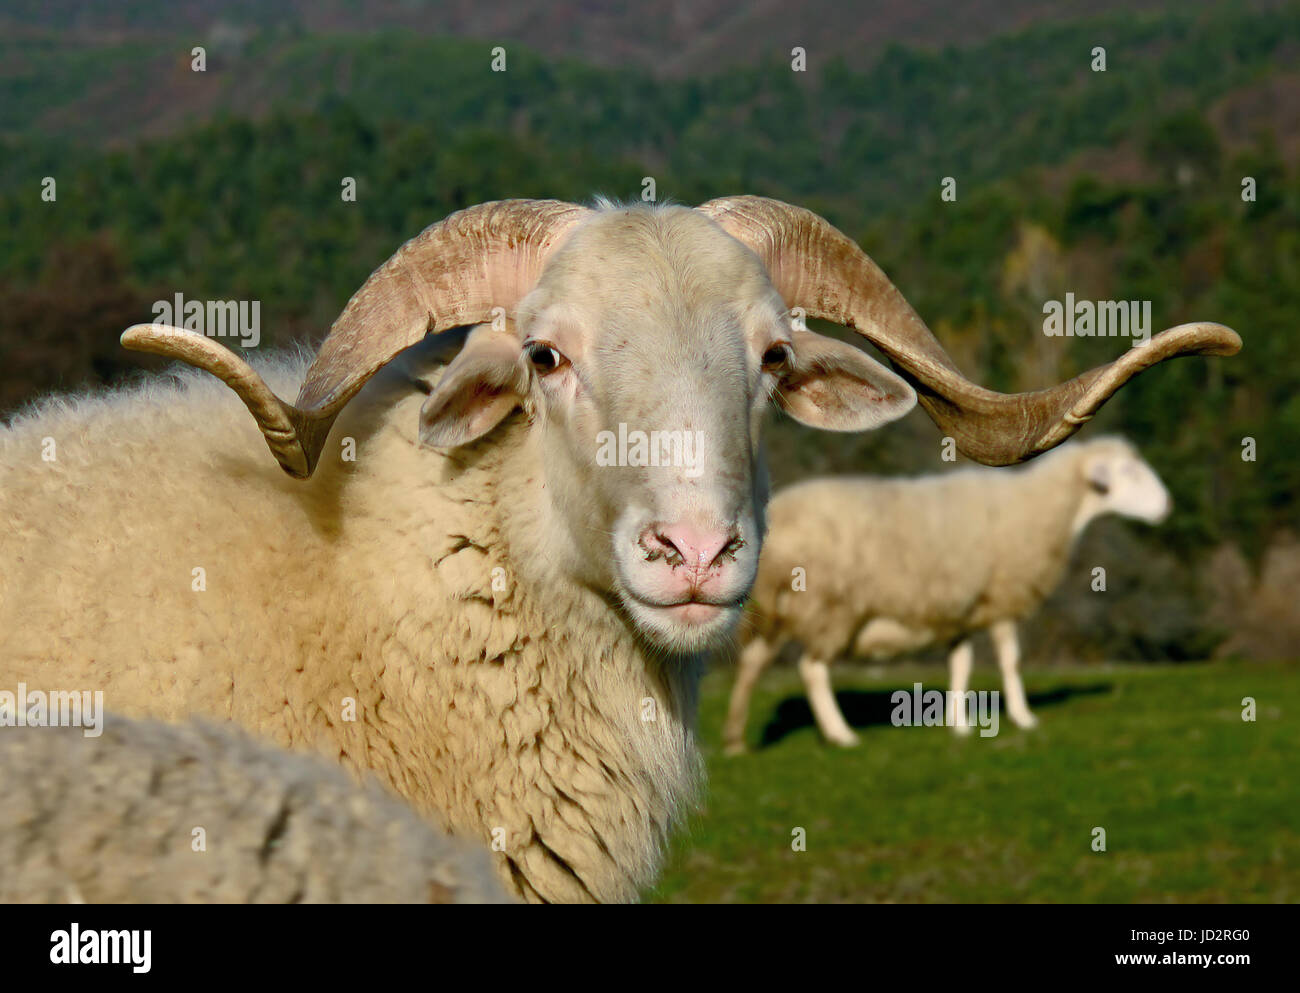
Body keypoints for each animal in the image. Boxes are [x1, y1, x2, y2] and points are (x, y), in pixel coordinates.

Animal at [723, 436, 1175, 752]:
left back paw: (737, 739)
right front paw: (1024, 717)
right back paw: (840, 735)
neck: (1045, 508)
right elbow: (1010, 660)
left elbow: (961, 663)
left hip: (783, 609)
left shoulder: (961, 611)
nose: (1167, 508)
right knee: (812, 669)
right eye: (1127, 472)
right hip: (830, 606)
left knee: (752, 662)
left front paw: (959, 724)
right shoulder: (1000, 596)